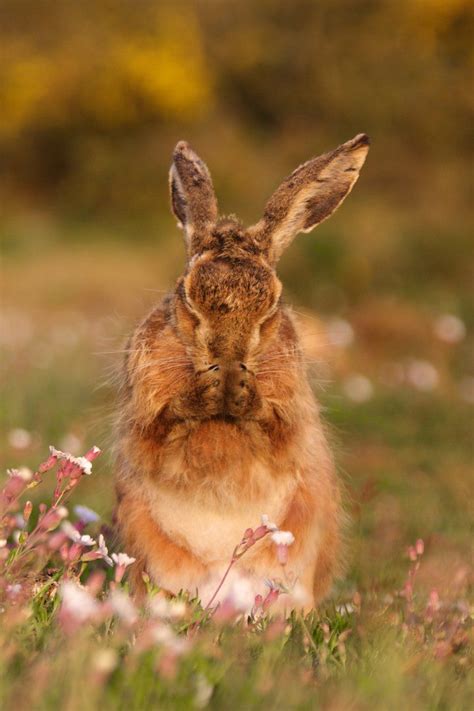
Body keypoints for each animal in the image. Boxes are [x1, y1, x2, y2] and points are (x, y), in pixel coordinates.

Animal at [114, 134, 370, 610]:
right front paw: (209, 390)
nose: (229, 359)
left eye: (272, 303)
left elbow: (274, 429)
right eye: (185, 296)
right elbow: (162, 427)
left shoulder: (291, 414)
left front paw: (241, 393)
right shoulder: (144, 410)